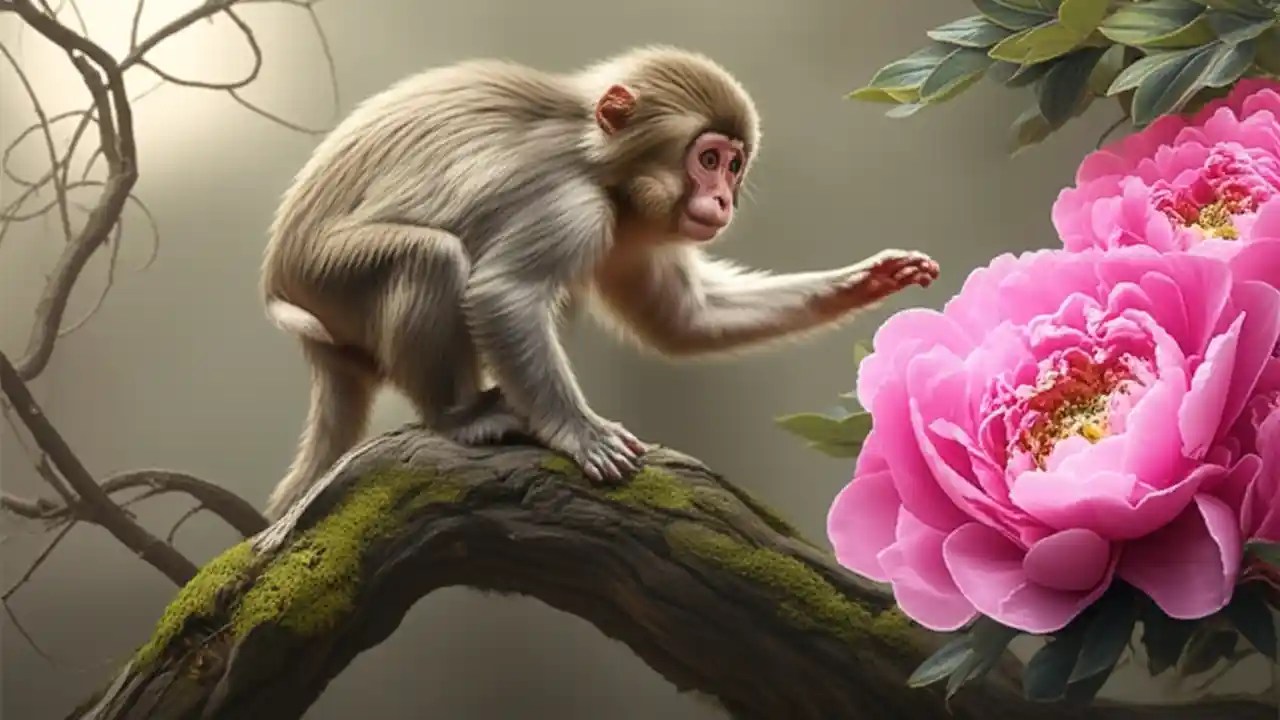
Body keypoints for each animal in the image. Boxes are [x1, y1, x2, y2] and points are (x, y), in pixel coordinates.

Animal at [259, 45, 939, 521]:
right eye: (708, 159)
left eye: (735, 164)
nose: (723, 199)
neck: (606, 169)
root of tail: (279, 282)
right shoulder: (573, 205)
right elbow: (504, 294)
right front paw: (581, 433)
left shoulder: (632, 233)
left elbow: (685, 319)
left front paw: (868, 278)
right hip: (332, 280)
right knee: (430, 257)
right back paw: (458, 416)